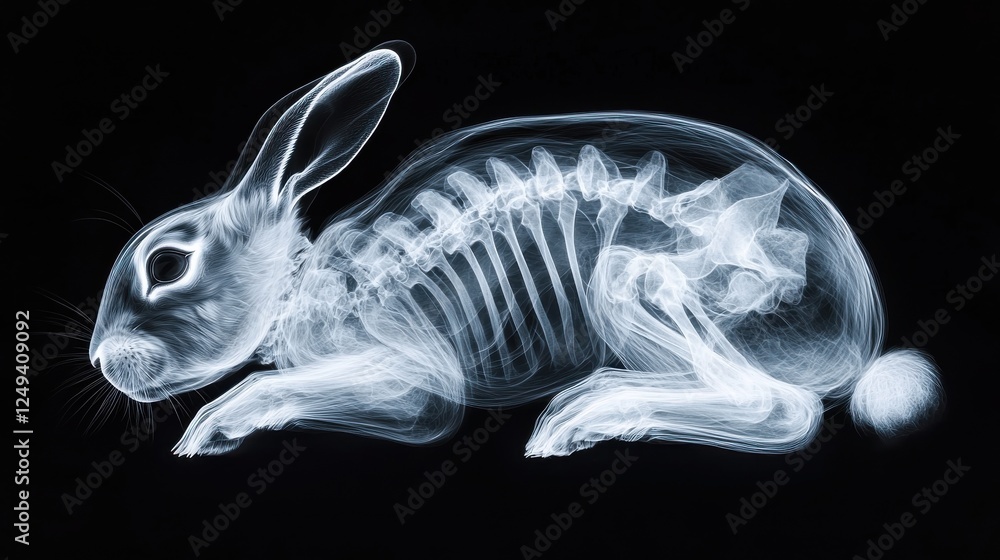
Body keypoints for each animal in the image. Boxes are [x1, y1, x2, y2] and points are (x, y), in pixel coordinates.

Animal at [89, 43, 943, 458]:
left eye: (166, 264)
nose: (102, 361)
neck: (302, 291)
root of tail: (856, 336)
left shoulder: (410, 373)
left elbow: (298, 390)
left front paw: (210, 431)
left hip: (651, 277)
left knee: (780, 408)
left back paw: (586, 418)